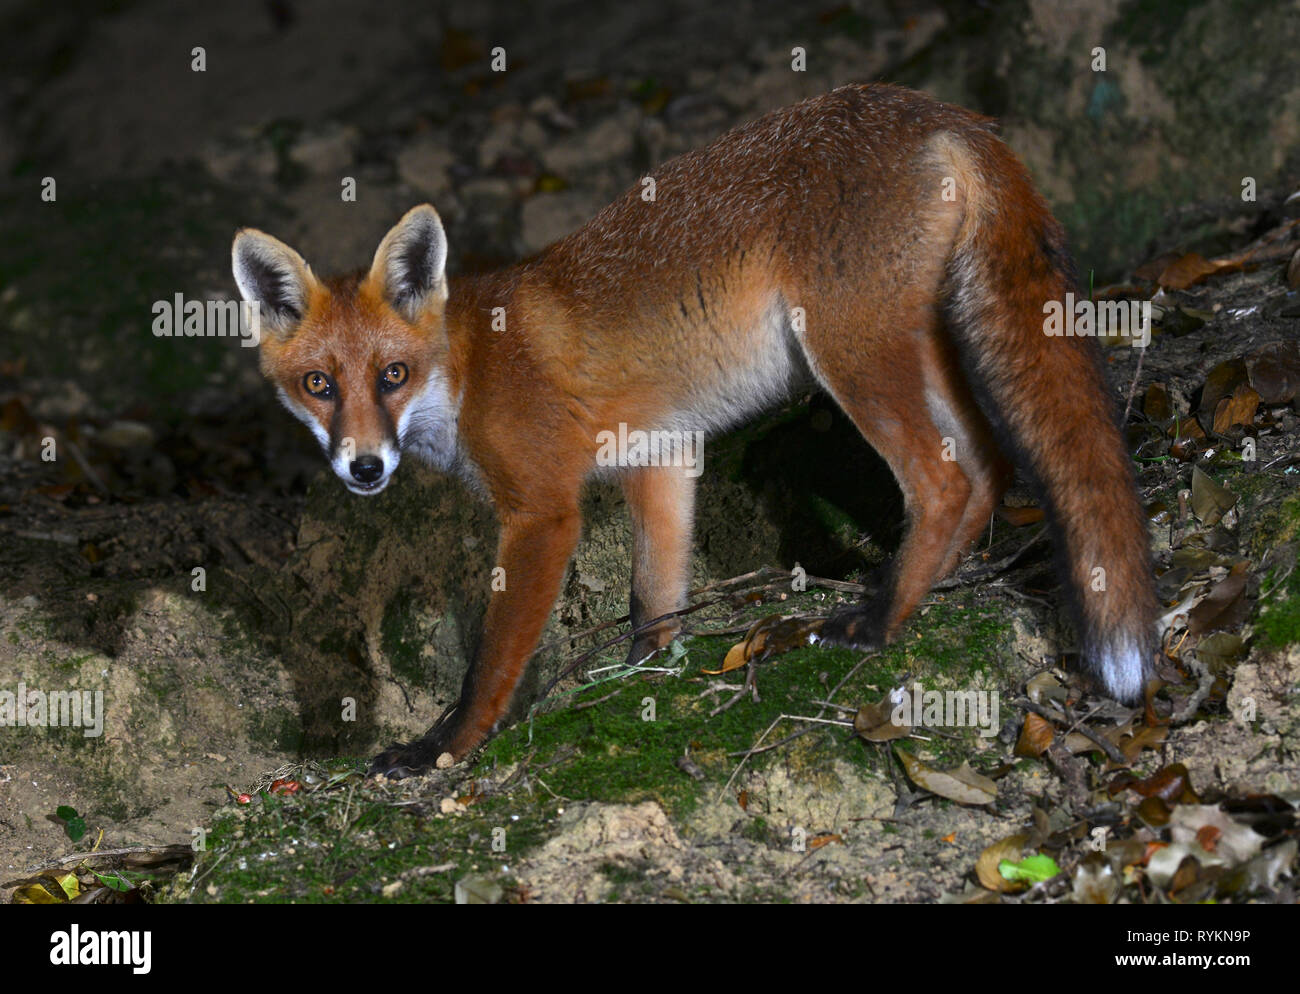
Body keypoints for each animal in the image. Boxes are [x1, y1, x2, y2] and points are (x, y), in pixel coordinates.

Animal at [232, 83, 1157, 777]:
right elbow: (656, 596)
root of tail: (934, 108)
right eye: (319, 386)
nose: (363, 468)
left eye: (392, 376)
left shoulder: (541, 513)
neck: (467, 369)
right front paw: (645, 675)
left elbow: (489, 663)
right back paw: (929, 585)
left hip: (851, 354)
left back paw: (879, 620)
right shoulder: (662, 456)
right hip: (926, 345)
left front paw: (441, 750)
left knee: (943, 479)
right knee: (991, 464)